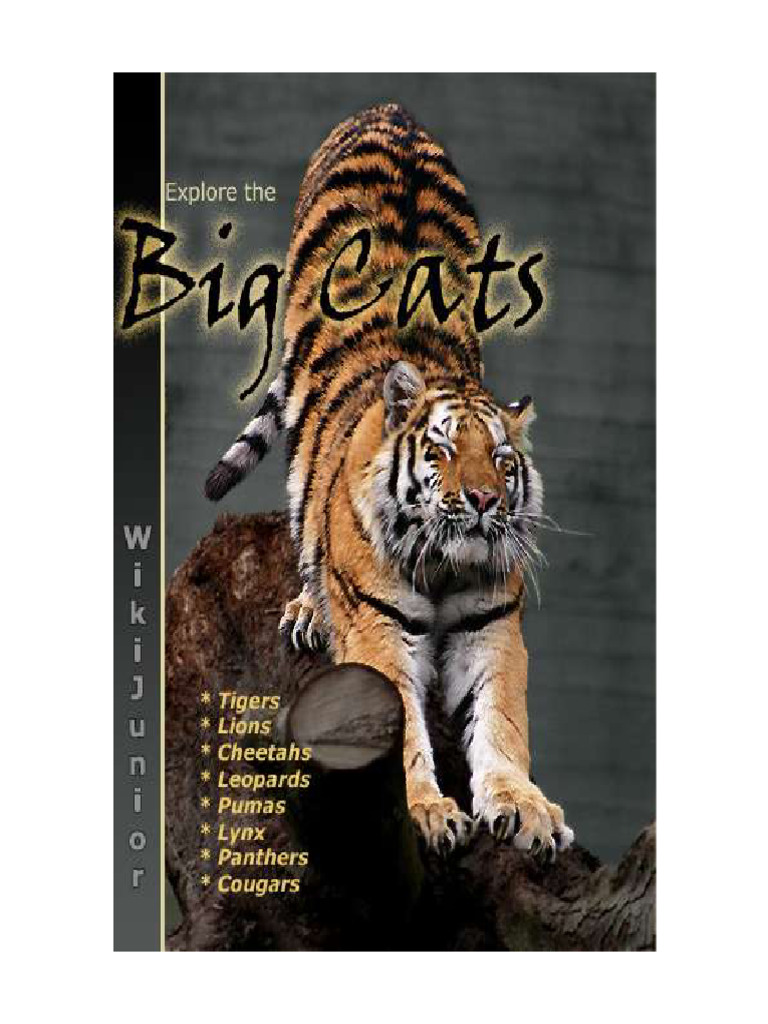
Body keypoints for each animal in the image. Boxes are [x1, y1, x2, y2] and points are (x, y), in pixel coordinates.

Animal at [205, 103, 574, 859]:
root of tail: (389, 111)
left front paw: (525, 808)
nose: (485, 500)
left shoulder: (493, 628)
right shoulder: (378, 632)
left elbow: (503, 722)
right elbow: (399, 726)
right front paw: (428, 812)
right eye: (442, 449)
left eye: (502, 460)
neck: (444, 565)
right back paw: (309, 610)